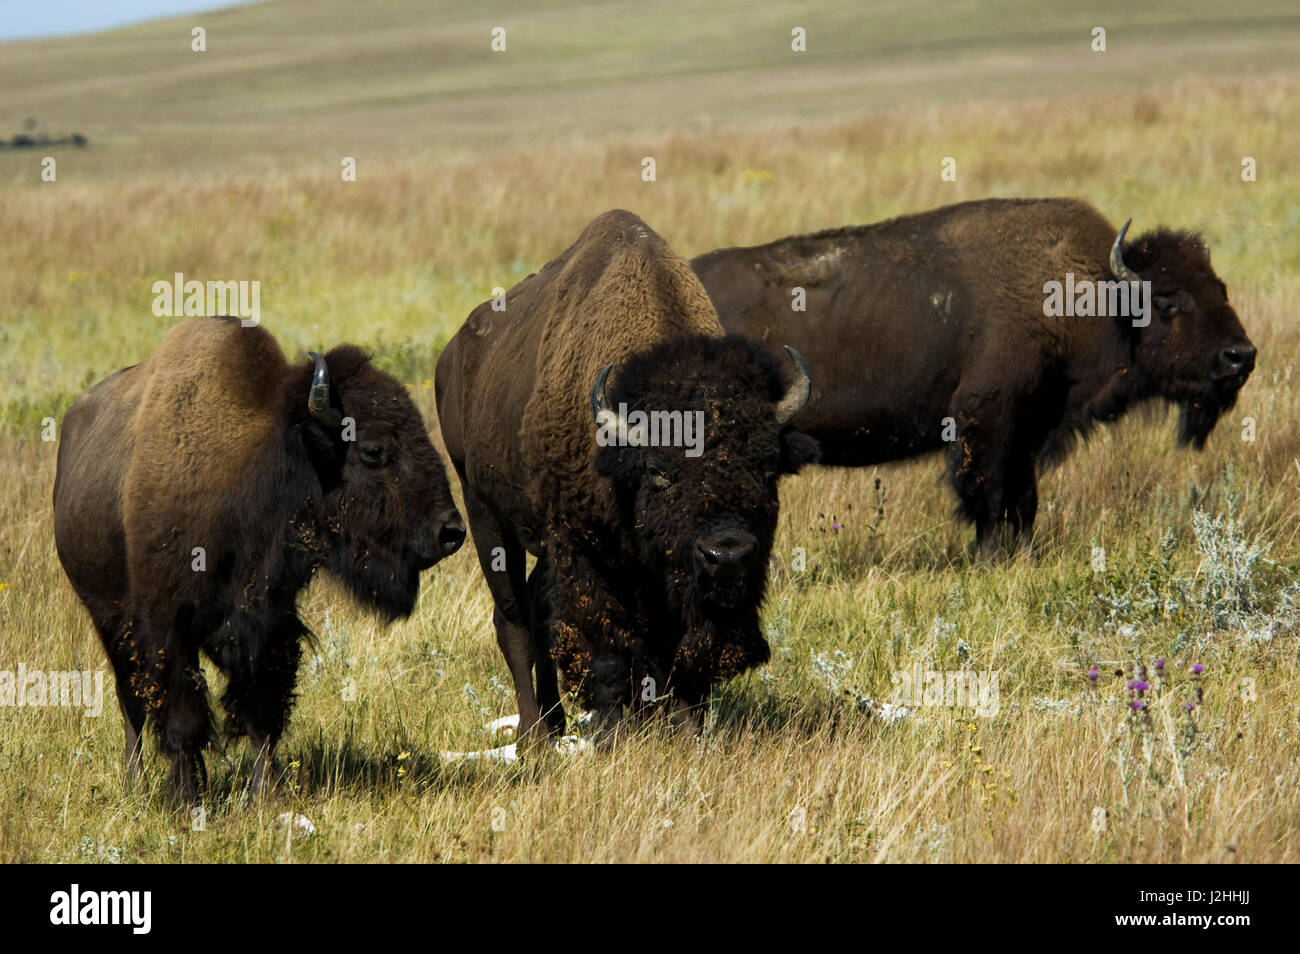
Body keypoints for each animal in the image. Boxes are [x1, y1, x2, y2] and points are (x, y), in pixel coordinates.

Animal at [53, 316, 466, 802]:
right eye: (373, 450)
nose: (451, 531)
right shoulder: (165, 623)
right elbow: (182, 717)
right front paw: (187, 800)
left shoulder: (269, 621)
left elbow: (261, 713)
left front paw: (266, 794)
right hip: (109, 620)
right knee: (131, 702)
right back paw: (136, 784)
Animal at [436, 210, 818, 743]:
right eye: (659, 472)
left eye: (767, 467)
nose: (726, 556)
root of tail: (451, 357)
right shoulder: (585, 552)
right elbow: (607, 646)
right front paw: (615, 733)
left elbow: (679, 651)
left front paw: (691, 730)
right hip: (484, 511)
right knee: (513, 620)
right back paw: (534, 737)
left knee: (536, 613)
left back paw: (556, 724)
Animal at [692, 197, 1256, 553]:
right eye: (1168, 301)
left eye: (1221, 288)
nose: (1241, 356)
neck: (1092, 295)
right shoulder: (986, 419)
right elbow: (987, 494)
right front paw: (986, 558)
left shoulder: (1030, 429)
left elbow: (1023, 500)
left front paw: (1022, 555)